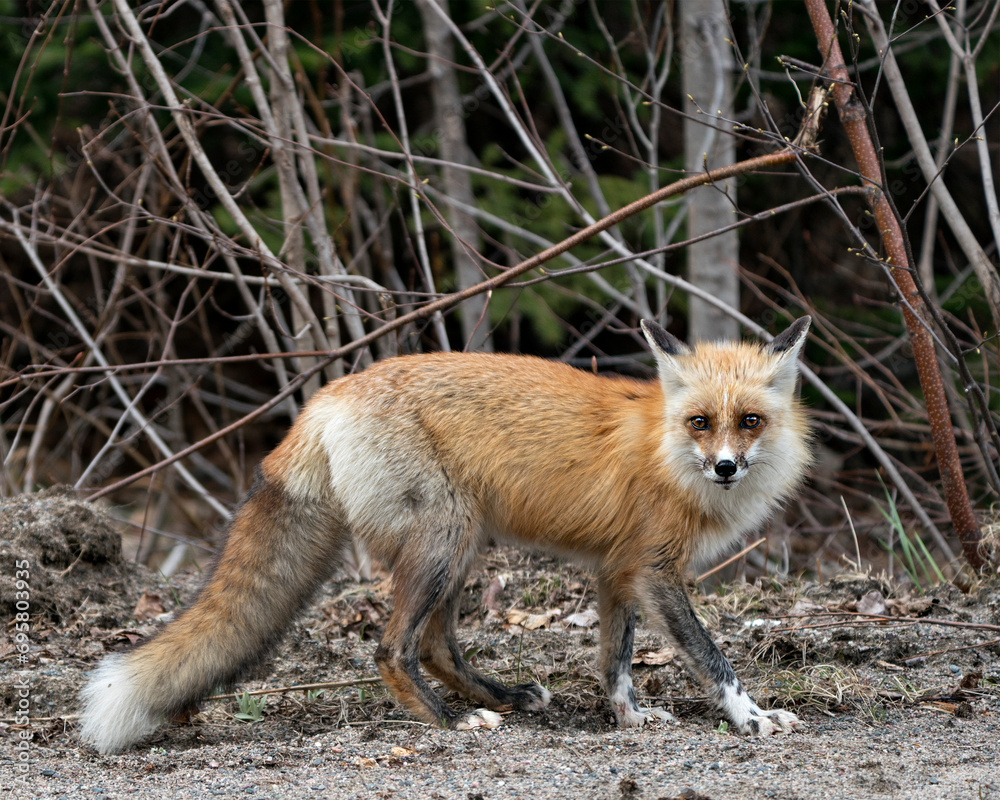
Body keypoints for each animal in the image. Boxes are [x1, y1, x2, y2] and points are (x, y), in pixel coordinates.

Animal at [79, 316, 812, 754]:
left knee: (434, 647)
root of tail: (327, 394)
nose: (725, 467)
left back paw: (502, 699)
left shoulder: (619, 570)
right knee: (391, 648)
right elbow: (712, 658)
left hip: (461, 546)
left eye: (749, 421)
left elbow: (616, 662)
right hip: (444, 540)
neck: (666, 454)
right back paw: (451, 720)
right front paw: (751, 718)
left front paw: (629, 719)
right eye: (700, 422)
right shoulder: (654, 570)